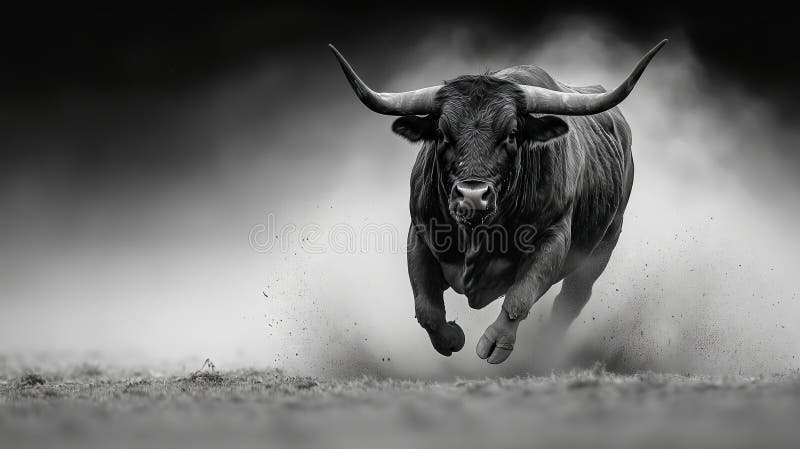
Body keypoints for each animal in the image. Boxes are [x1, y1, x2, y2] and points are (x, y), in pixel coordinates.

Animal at [330, 40, 666, 364]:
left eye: (512, 134)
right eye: (441, 133)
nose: (472, 195)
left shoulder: (554, 237)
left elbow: (520, 295)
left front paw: (495, 343)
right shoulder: (420, 233)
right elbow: (427, 309)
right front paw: (452, 338)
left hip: (603, 247)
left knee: (571, 300)